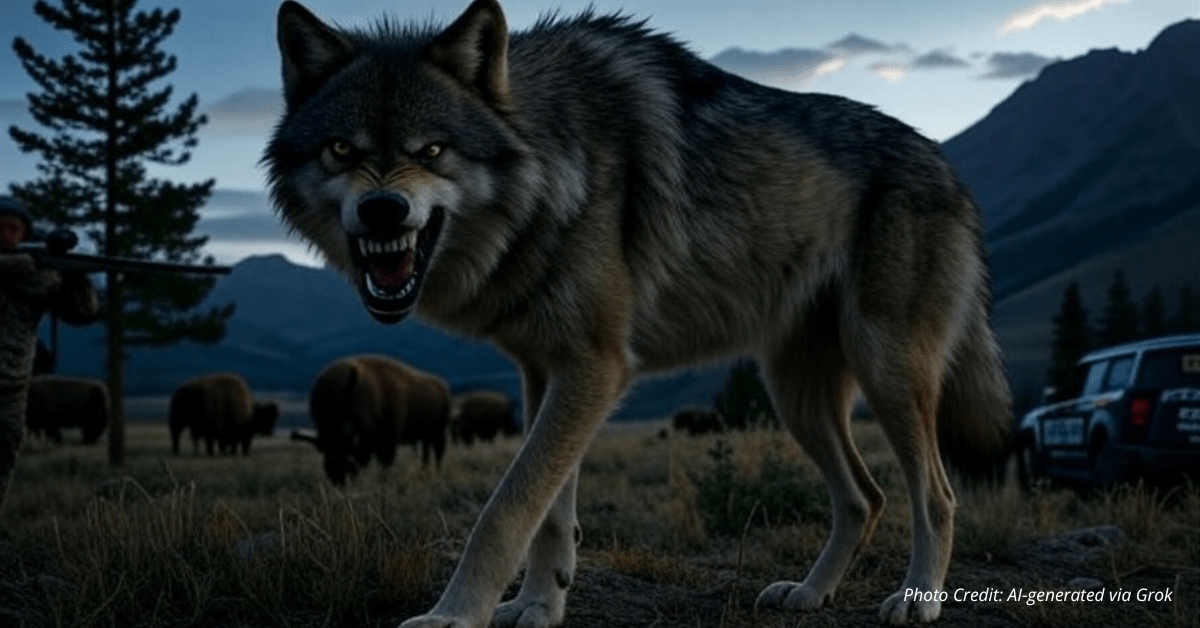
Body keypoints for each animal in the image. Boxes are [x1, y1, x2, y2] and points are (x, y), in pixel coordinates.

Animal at [263, 1, 1013, 625]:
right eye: (341, 150)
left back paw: (916, 600)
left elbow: (507, 508)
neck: (549, 173)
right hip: (794, 394)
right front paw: (538, 607)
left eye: (432, 151)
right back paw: (808, 593)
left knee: (936, 495)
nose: (382, 211)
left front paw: (456, 616)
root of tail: (950, 167)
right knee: (866, 497)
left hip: (886, 373)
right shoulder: (546, 370)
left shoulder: (595, 366)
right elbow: (550, 512)